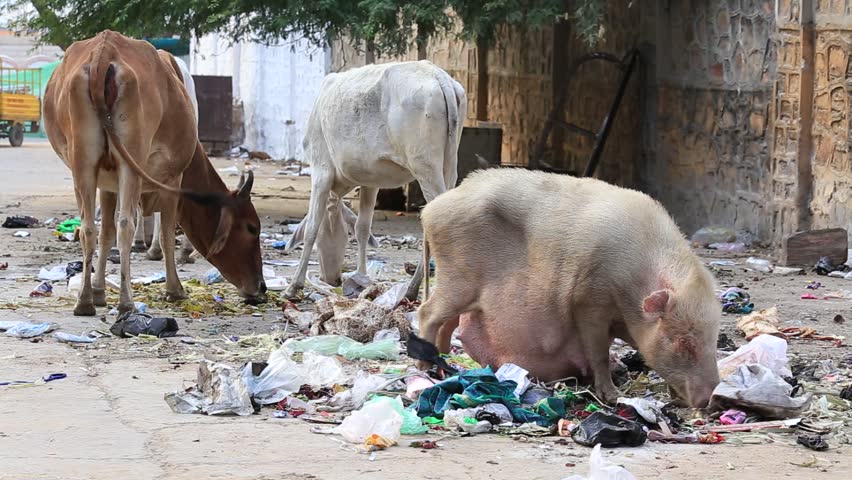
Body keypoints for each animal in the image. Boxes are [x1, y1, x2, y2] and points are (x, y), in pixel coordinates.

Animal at [414, 168, 721, 408]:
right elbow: (598, 352)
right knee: (428, 312)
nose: (711, 401)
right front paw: (612, 396)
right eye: (683, 342)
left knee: (448, 323)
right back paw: (426, 368)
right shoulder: (589, 301)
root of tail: (429, 211)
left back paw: (445, 363)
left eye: (714, 340)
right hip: (457, 278)